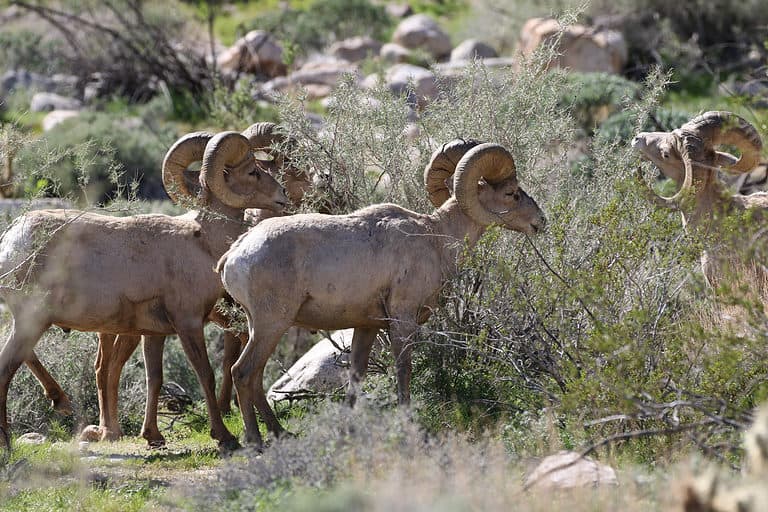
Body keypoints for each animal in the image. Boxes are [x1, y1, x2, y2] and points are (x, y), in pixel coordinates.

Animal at [0, 129, 288, 451]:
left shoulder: (154, 333)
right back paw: (16, 437)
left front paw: (153, 436)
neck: (202, 241)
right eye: (253, 172)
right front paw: (225, 438)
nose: (283, 196)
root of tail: (12, 239)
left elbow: (156, 378)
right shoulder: (188, 323)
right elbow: (206, 375)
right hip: (33, 321)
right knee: (6, 369)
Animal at [217, 139, 546, 448]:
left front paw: (349, 430)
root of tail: (235, 255)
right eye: (512, 193)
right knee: (243, 373)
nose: (540, 221)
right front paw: (407, 423)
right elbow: (404, 369)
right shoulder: (402, 320)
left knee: (255, 378)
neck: (435, 240)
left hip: (259, 327)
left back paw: (281, 434)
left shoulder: (367, 327)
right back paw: (256, 442)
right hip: (271, 325)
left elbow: (356, 377)